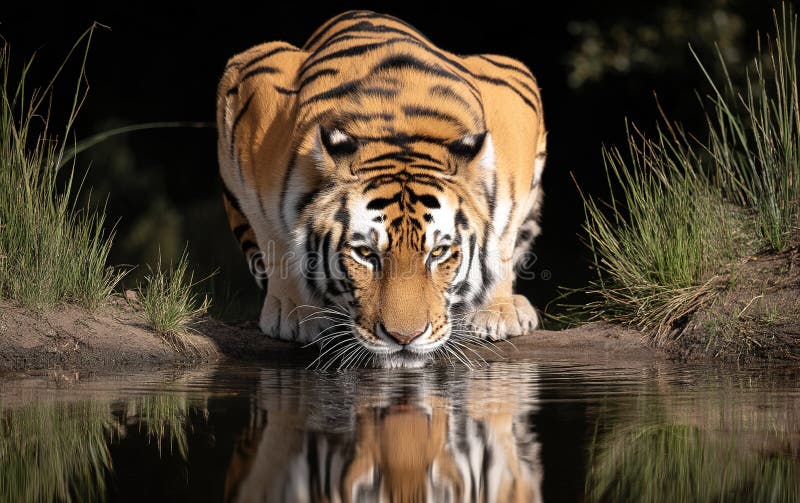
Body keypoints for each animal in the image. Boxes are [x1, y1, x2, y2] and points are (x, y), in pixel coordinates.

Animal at [217, 10, 547, 367]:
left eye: (439, 252)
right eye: (365, 254)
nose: (404, 338)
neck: (400, 134)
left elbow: (503, 235)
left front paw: (496, 311)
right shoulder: (251, 114)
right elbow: (272, 234)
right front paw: (294, 312)